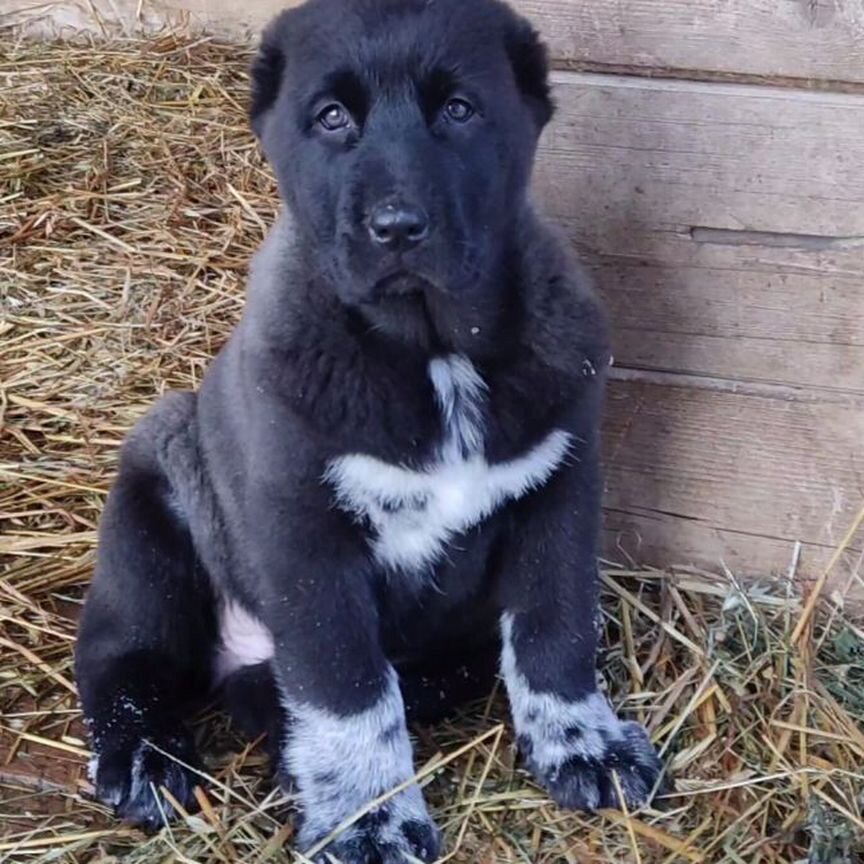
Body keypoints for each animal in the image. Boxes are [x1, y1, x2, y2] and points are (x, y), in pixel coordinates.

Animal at [76, 0, 660, 856]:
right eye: (331, 117)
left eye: (459, 110)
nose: (398, 226)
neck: (434, 350)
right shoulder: (307, 539)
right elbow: (347, 688)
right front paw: (371, 816)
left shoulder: (561, 490)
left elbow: (555, 633)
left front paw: (585, 744)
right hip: (152, 508)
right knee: (120, 658)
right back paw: (145, 758)